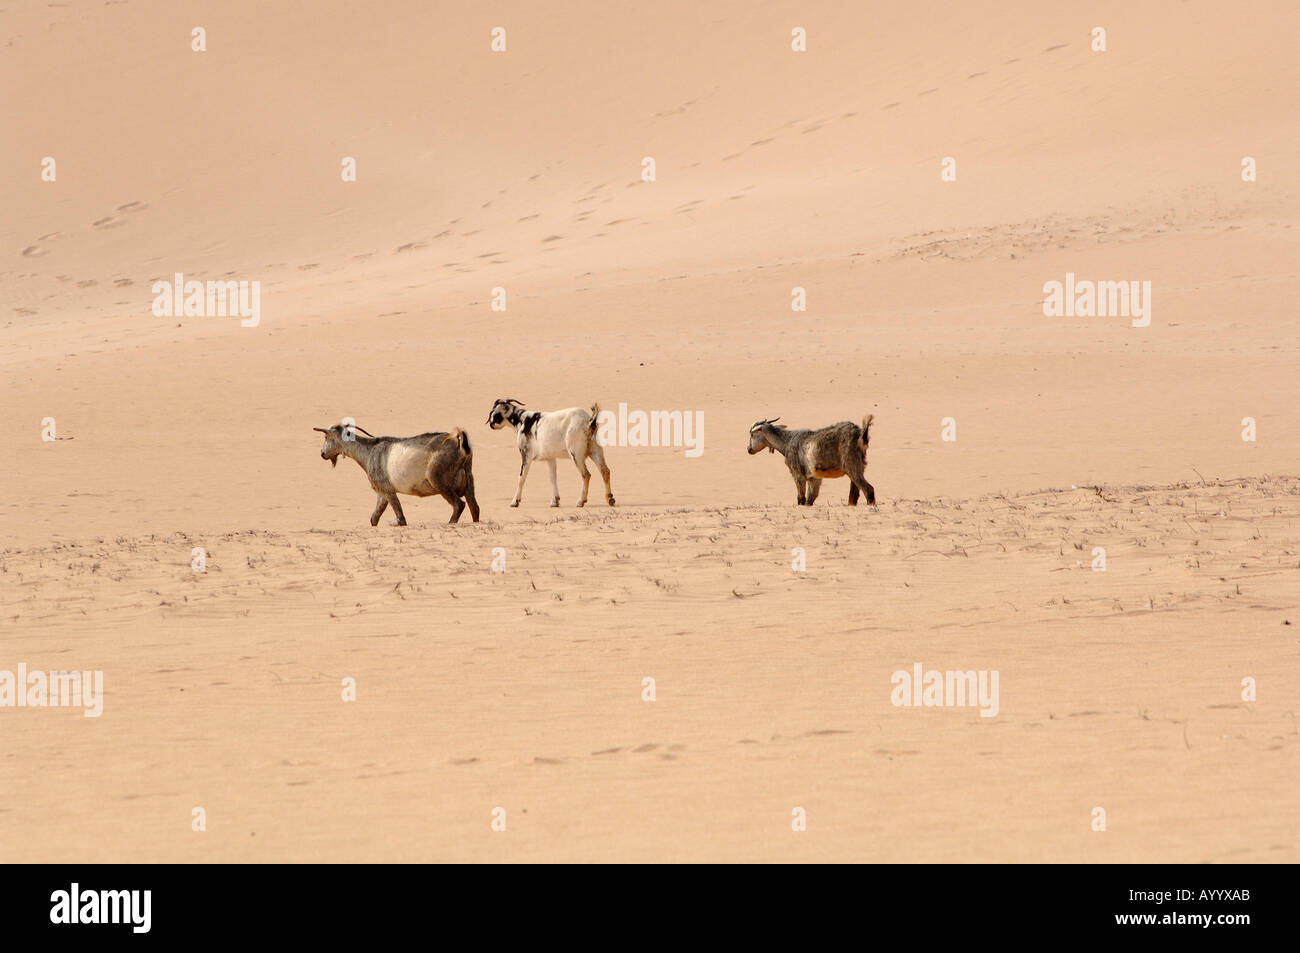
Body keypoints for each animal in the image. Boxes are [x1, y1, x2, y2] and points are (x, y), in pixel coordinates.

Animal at [314, 422, 480, 525]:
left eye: (326, 437)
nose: (322, 453)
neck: (368, 452)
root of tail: (457, 440)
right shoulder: (382, 493)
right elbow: (374, 518)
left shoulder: (388, 490)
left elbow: (401, 519)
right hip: (469, 478)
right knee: (475, 508)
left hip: (438, 479)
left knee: (459, 505)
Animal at [485, 398, 614, 508]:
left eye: (495, 413)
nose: (491, 424)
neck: (523, 420)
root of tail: (588, 421)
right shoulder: (550, 458)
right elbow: (553, 478)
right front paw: (555, 501)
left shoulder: (526, 455)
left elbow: (522, 478)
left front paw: (514, 502)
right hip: (595, 450)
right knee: (605, 471)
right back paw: (610, 499)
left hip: (576, 455)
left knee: (586, 475)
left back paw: (581, 501)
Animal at [747, 415, 876, 506]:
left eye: (752, 434)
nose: (749, 449)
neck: (787, 441)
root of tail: (860, 433)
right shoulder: (814, 478)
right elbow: (810, 499)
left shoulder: (798, 474)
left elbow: (801, 499)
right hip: (859, 466)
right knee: (854, 495)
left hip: (851, 465)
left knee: (868, 489)